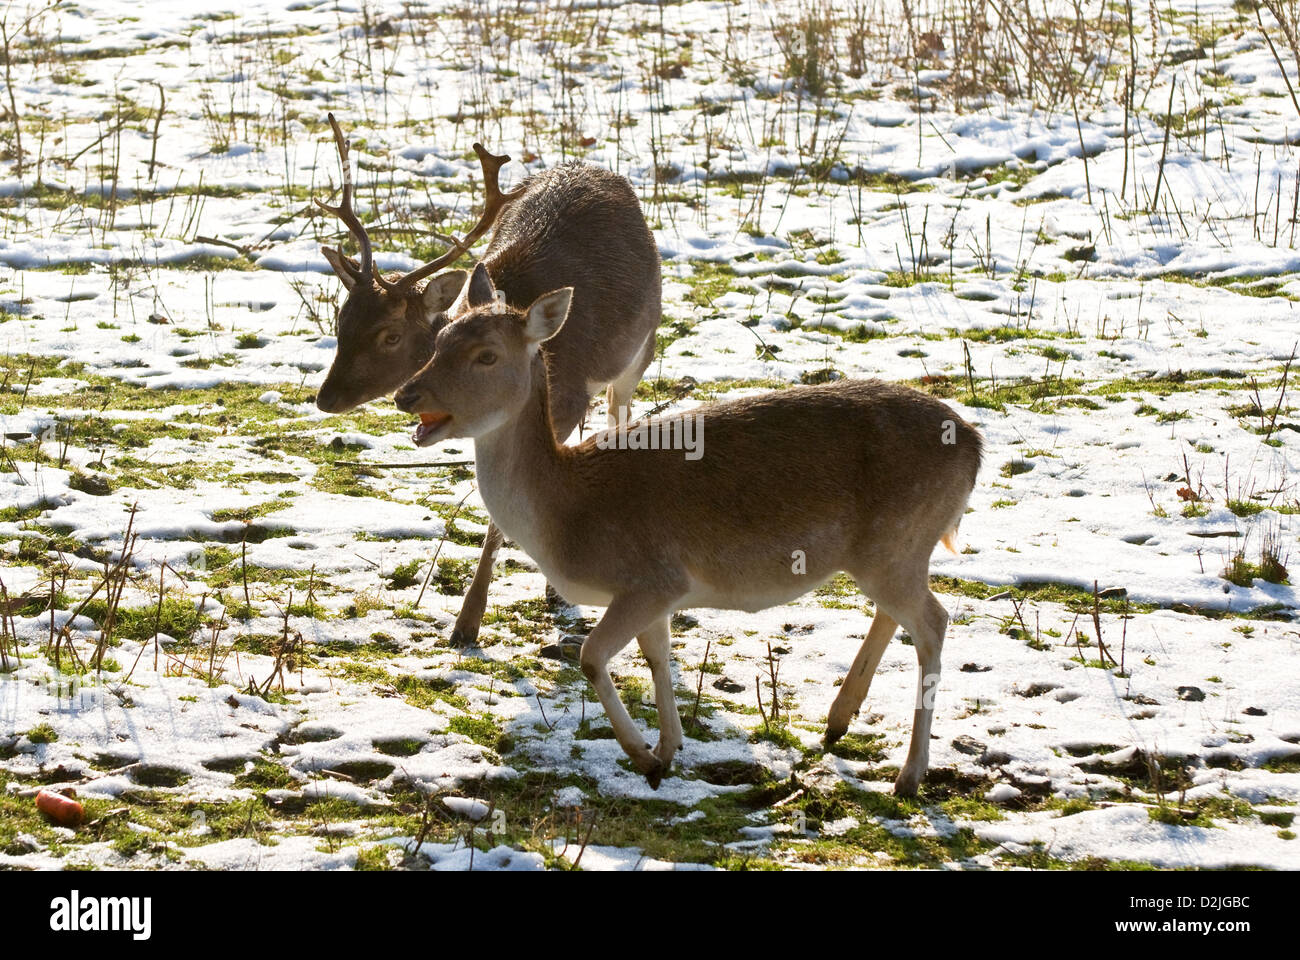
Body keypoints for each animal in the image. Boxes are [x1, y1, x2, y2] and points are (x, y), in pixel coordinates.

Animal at [312, 114, 662, 646]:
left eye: (391, 335)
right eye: (341, 319)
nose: (325, 398)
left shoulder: (567, 400)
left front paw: (468, 623)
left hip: (641, 349)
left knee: (620, 410)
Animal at [393, 263, 984, 795]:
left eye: (487, 355)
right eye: (440, 338)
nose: (407, 395)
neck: (563, 511)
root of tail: (976, 446)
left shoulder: (653, 578)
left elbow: (591, 656)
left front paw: (643, 756)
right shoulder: (657, 595)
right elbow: (657, 657)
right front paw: (668, 749)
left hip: (899, 541)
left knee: (934, 622)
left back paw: (908, 777)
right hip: (889, 552)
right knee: (897, 615)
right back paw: (837, 722)